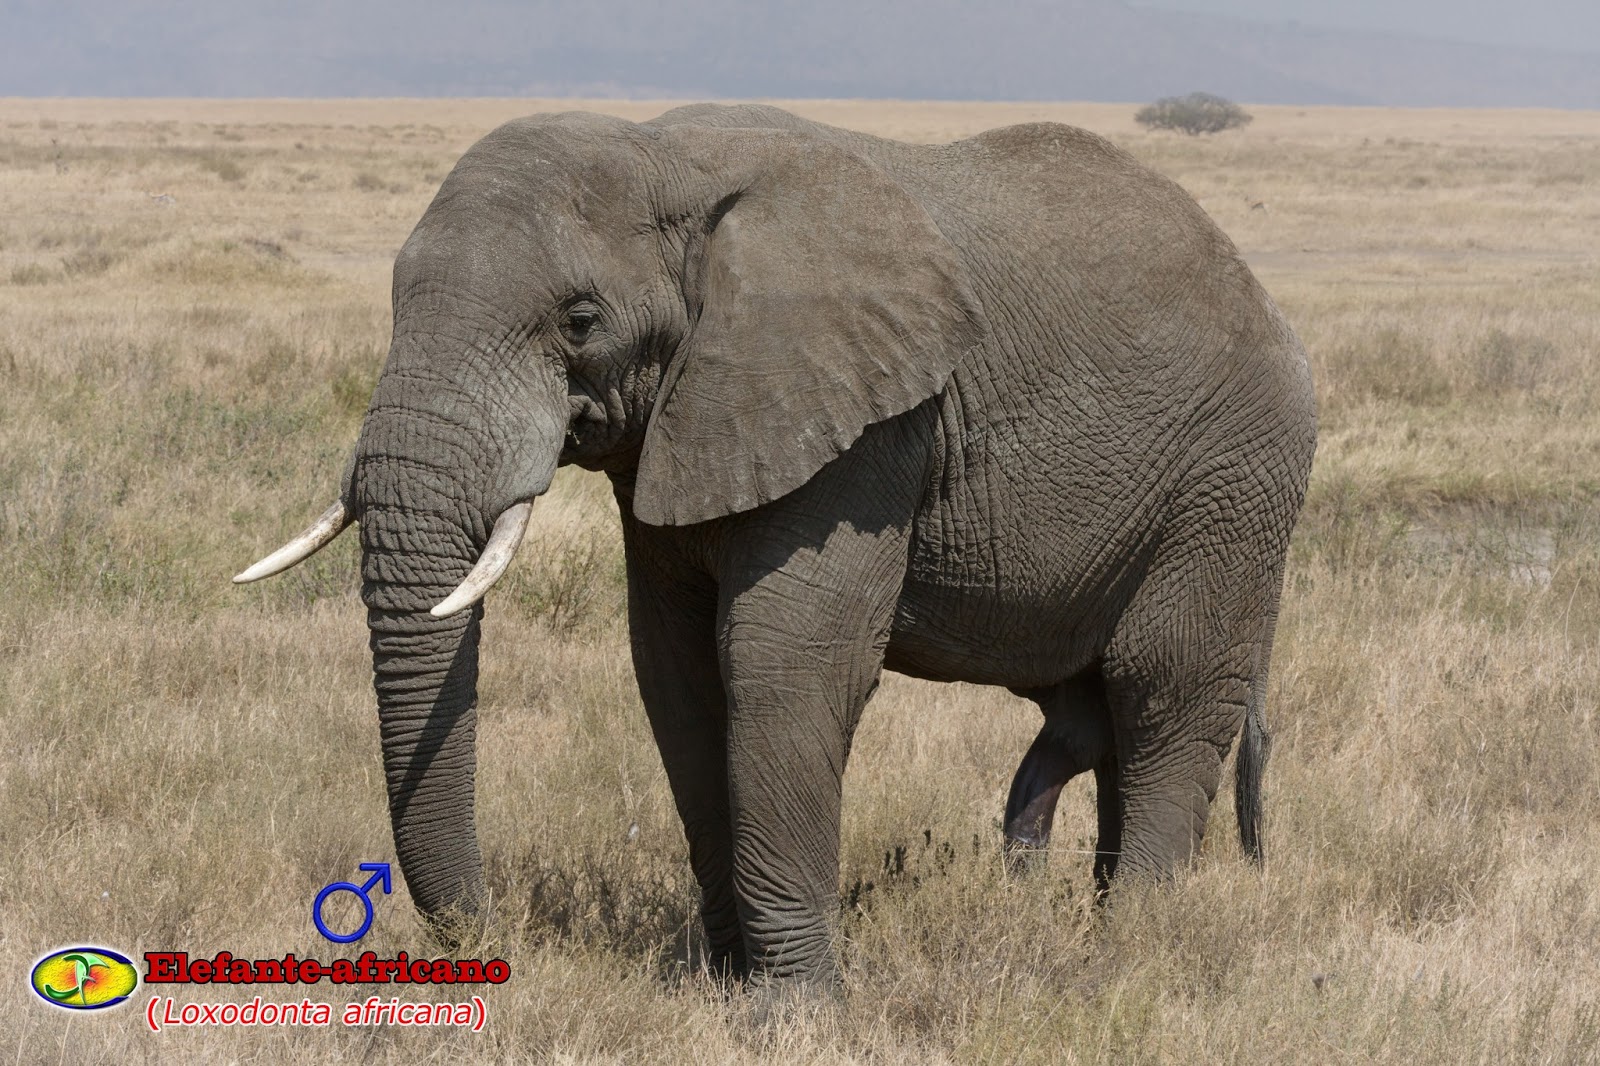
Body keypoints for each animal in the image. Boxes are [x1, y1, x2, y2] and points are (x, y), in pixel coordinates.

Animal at [236, 103, 1316, 990]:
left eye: (579, 320)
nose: (494, 943)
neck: (665, 155)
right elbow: (675, 673)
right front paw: (719, 981)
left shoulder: (870, 426)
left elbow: (781, 664)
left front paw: (793, 1007)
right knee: (1093, 715)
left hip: (1232, 483)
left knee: (1162, 695)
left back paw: (1126, 955)